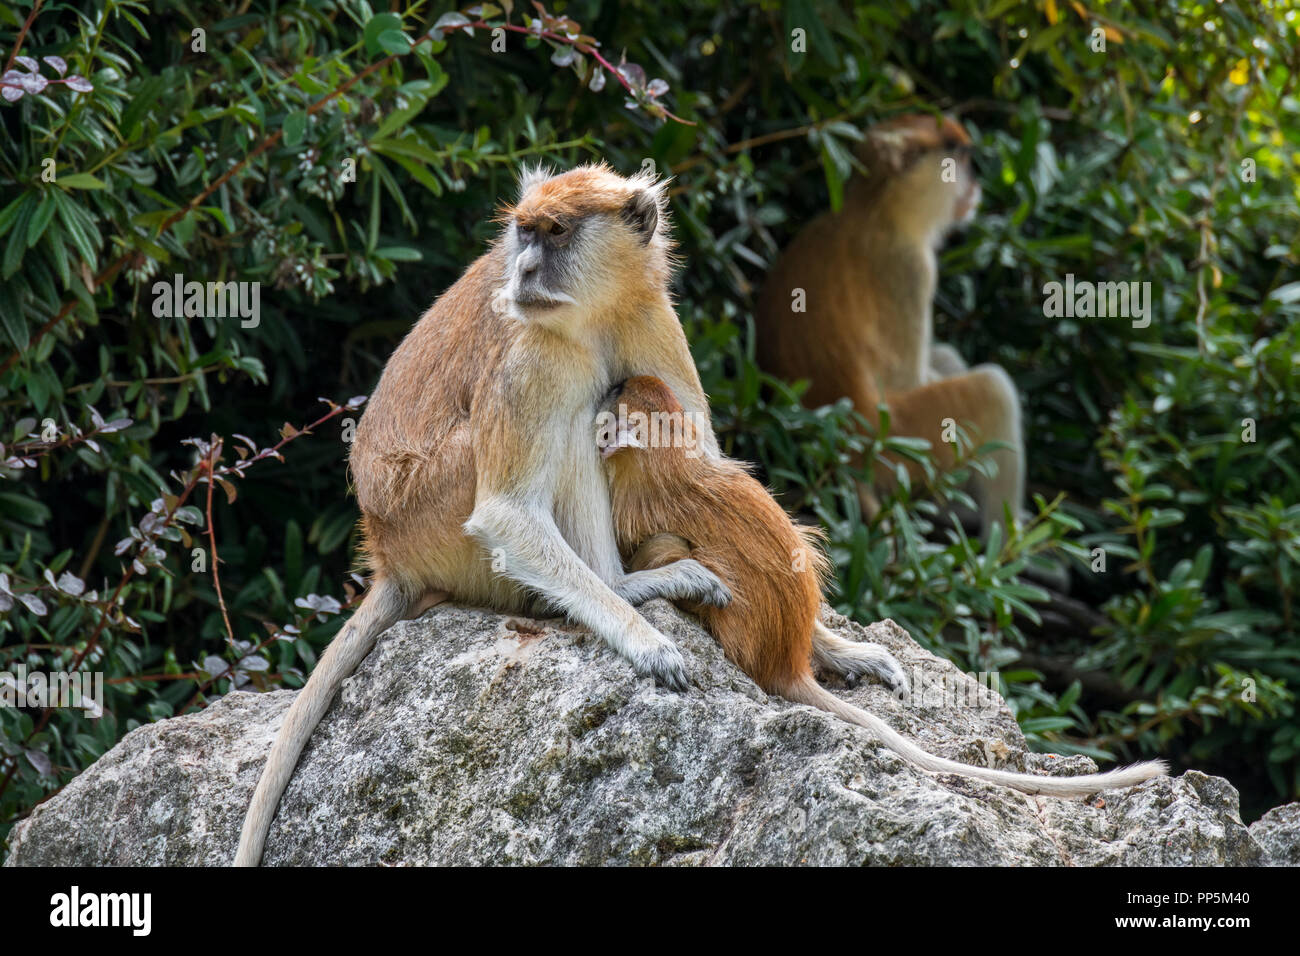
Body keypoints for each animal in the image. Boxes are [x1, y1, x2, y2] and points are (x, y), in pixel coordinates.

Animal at [235, 164, 734, 866]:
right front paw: (646, 640)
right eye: (523, 232)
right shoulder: (533, 351)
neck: (594, 311)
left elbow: (705, 465)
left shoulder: (651, 315)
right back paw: (619, 588)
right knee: (573, 418)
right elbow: (503, 514)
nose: (521, 270)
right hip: (436, 511)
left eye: (555, 233)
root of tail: (390, 555)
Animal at [755, 113, 1024, 537]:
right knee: (993, 390)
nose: (976, 187)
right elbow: (906, 381)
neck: (875, 210)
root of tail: (845, 457)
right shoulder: (911, 269)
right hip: (899, 447)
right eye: (963, 159)